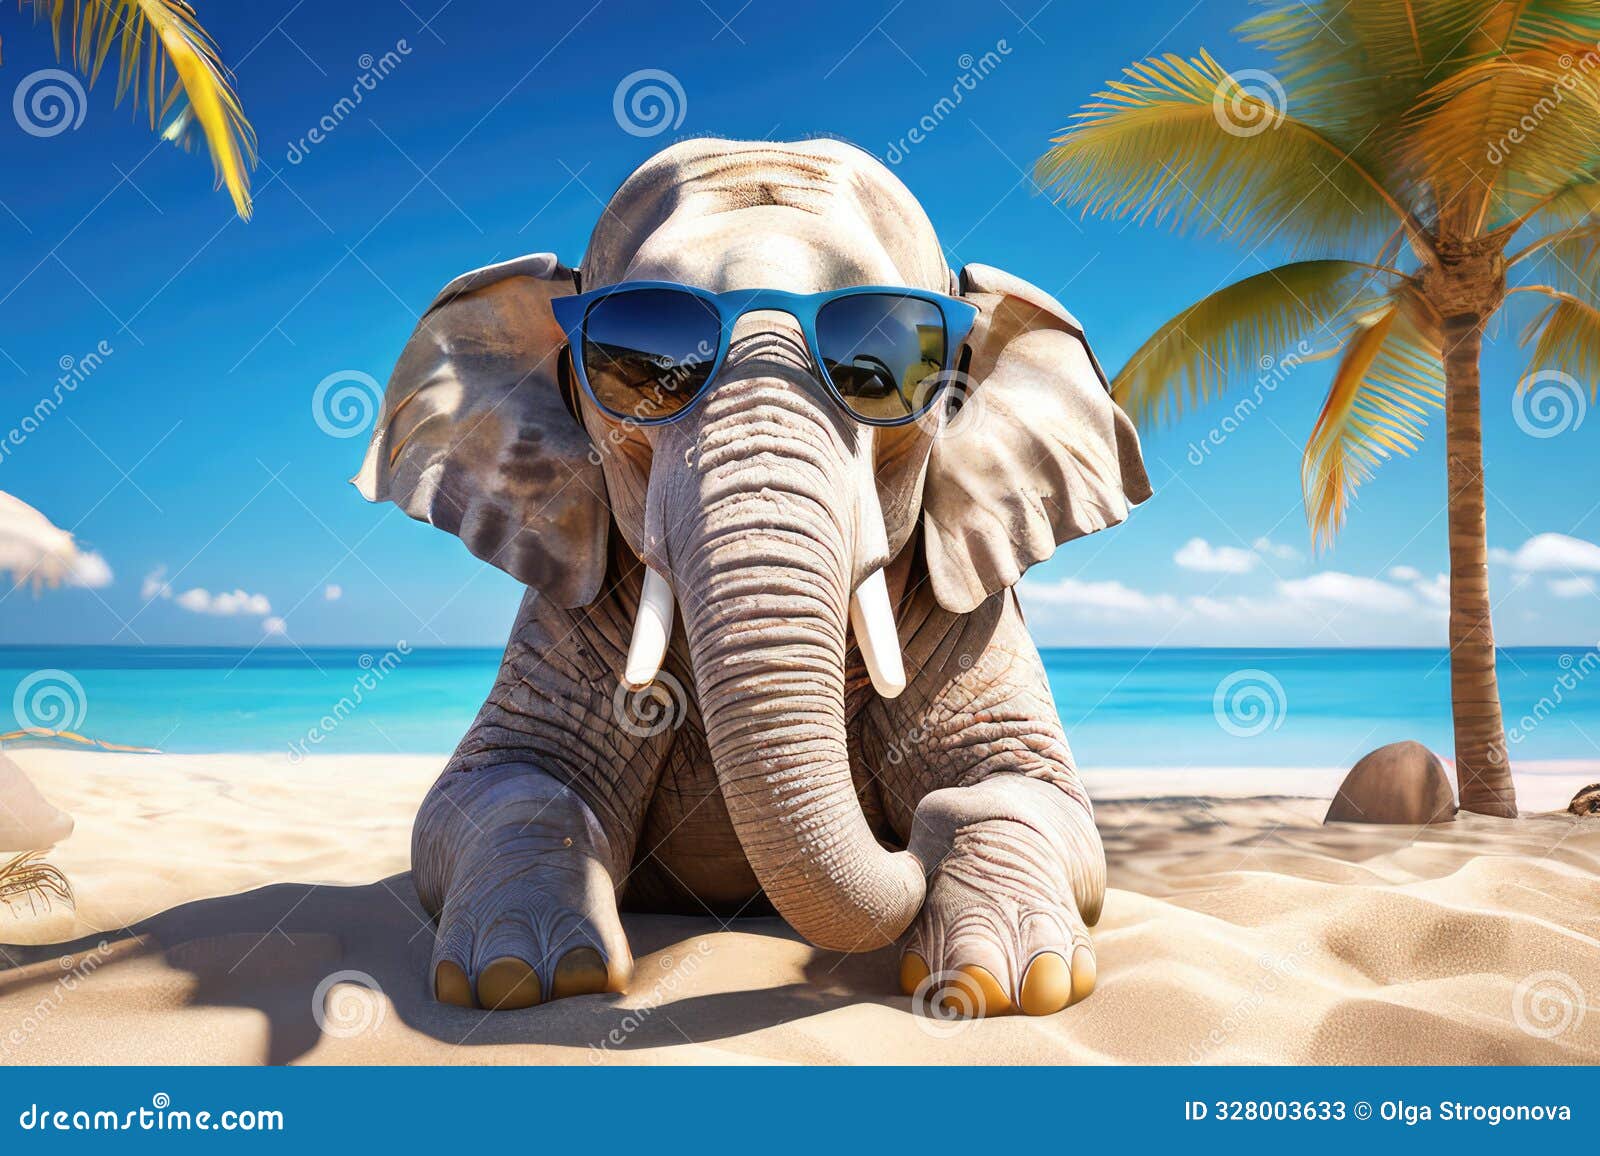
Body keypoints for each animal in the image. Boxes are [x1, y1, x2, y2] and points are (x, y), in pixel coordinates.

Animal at [354, 137, 1150, 1018]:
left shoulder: (971, 604)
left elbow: (1021, 788)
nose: (906, 842)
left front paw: (1003, 986)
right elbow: (496, 785)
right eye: (635, 361)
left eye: (893, 361)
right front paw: (522, 977)